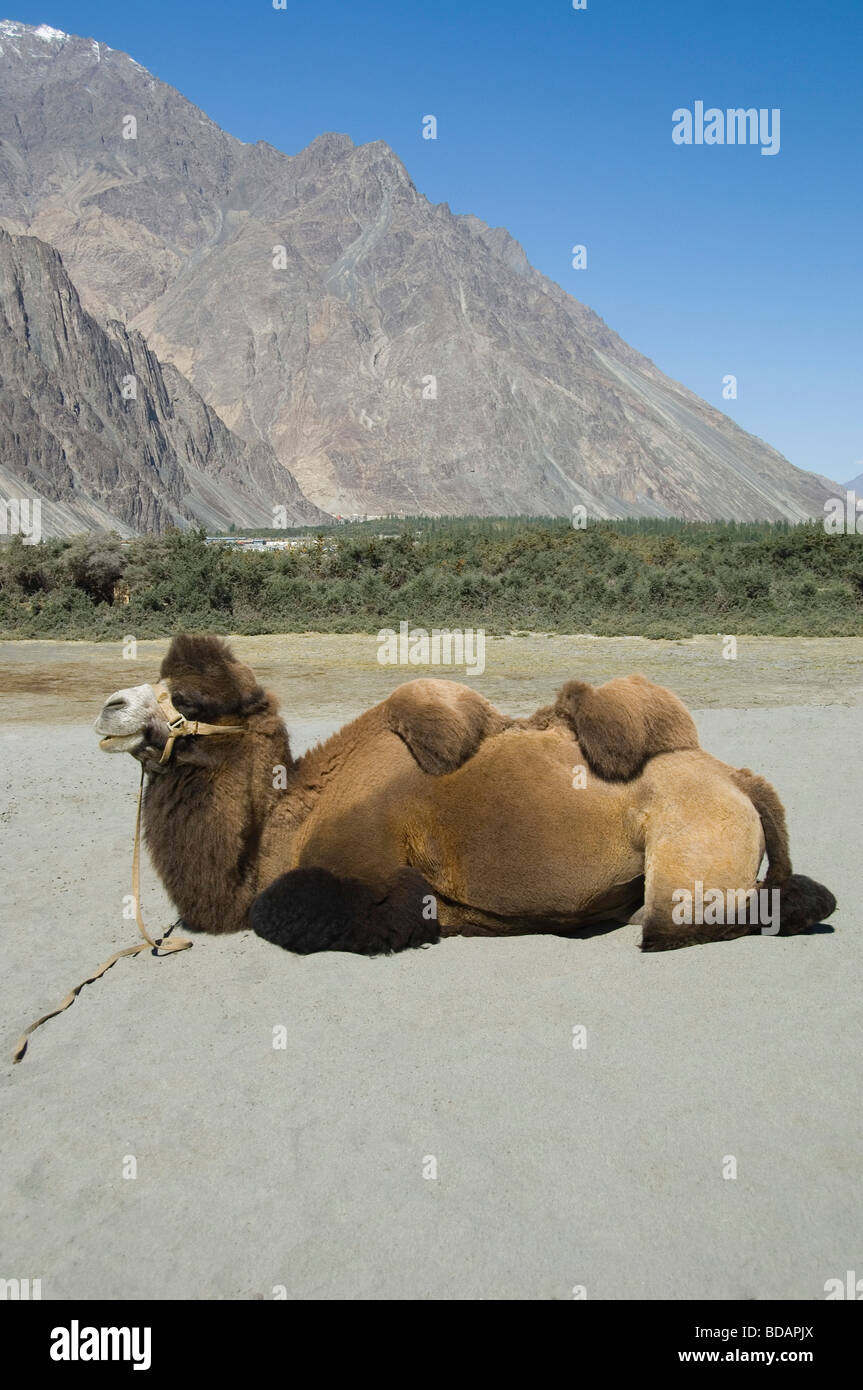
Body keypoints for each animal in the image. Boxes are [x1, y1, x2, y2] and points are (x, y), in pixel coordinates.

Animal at [93, 634, 836, 954]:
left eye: (188, 700)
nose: (109, 707)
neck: (288, 818)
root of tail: (738, 779)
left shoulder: (359, 870)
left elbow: (287, 910)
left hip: (691, 853)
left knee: (677, 923)